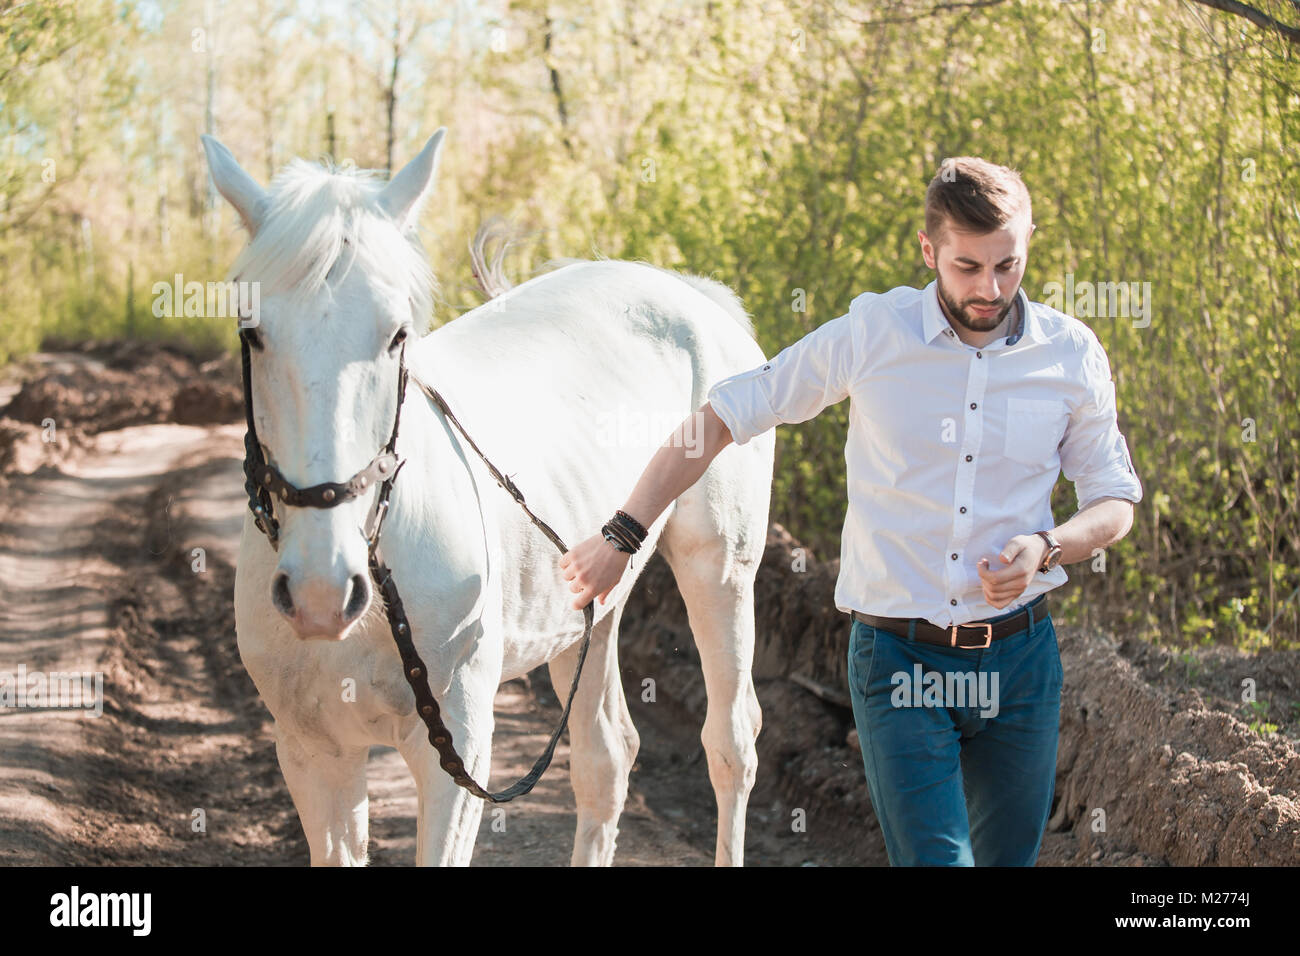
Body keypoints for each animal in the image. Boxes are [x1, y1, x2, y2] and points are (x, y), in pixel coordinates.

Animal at [201, 129, 776, 866]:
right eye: (253, 332)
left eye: (397, 335)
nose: (321, 592)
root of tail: (692, 295)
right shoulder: (312, 753)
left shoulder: (456, 749)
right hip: (589, 611)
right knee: (606, 760)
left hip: (721, 572)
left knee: (730, 745)